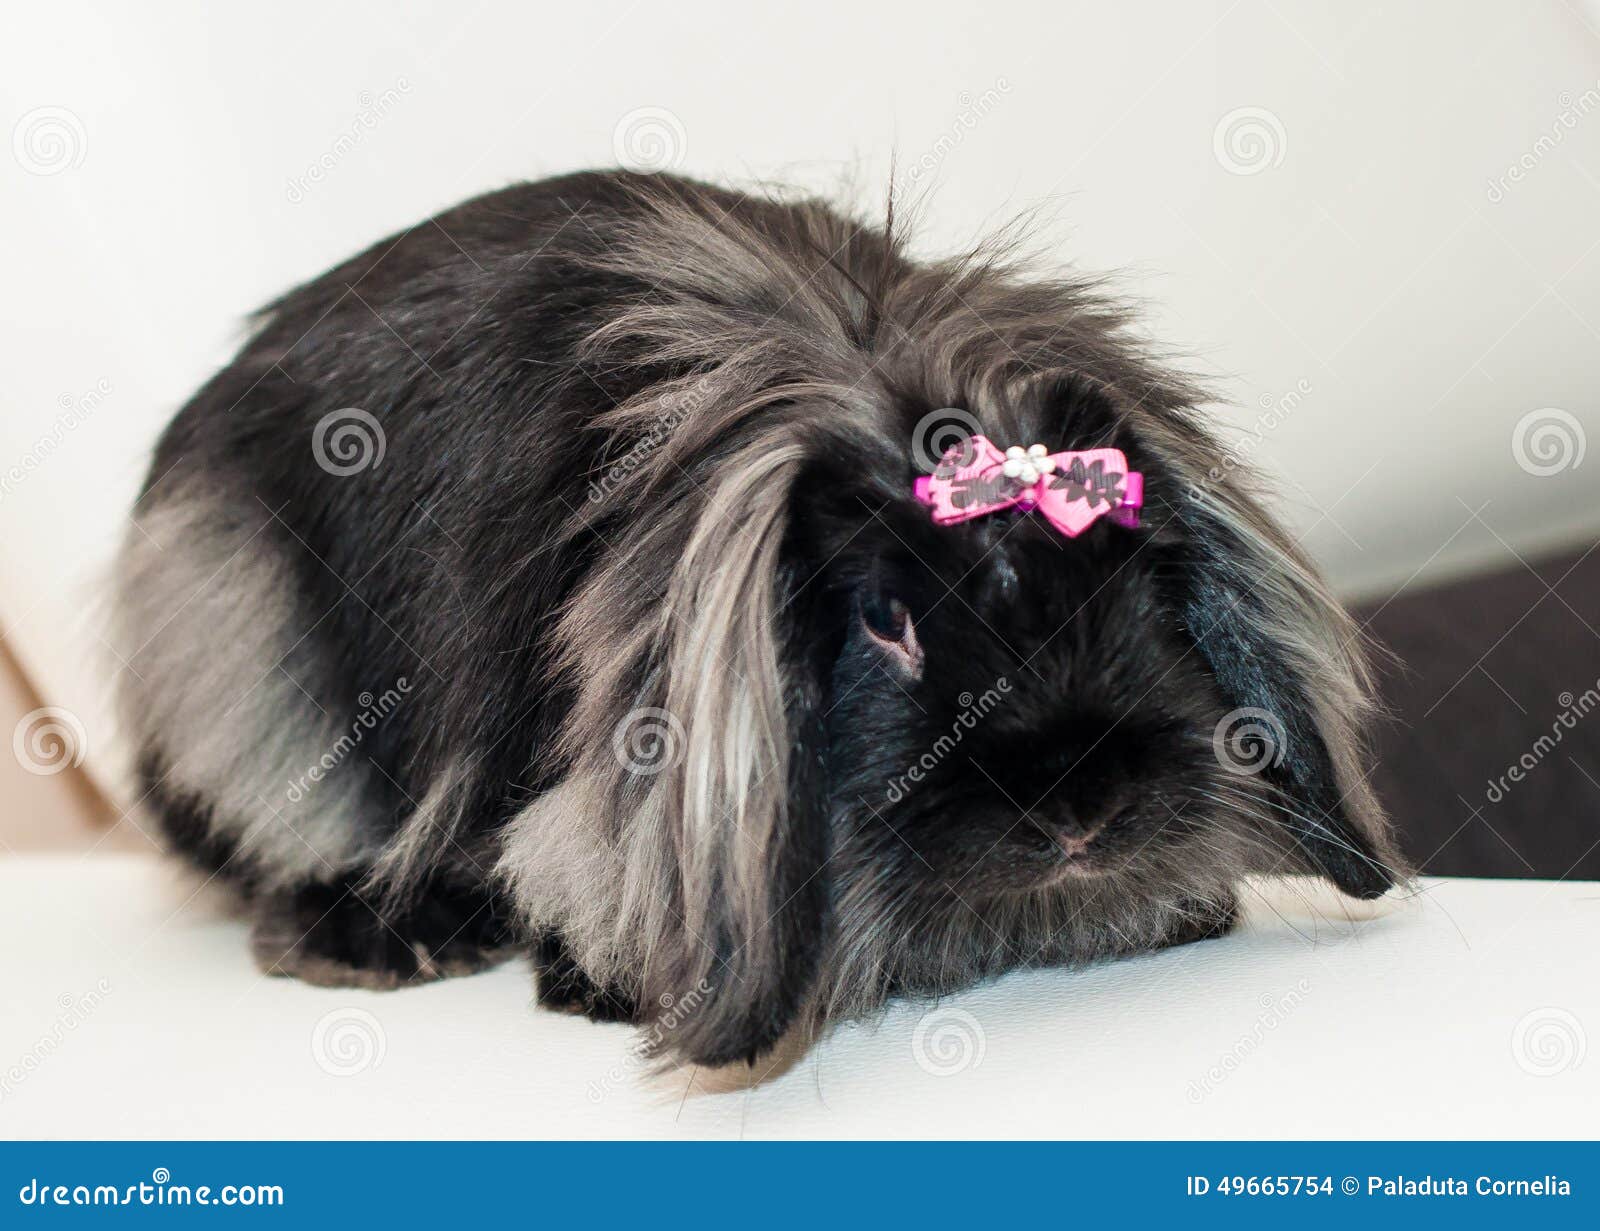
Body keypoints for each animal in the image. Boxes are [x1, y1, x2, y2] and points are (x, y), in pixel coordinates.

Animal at [111, 170, 1405, 1069]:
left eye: (1138, 582)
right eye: (885, 620)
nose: (1084, 810)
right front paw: (596, 984)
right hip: (238, 655)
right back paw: (389, 938)